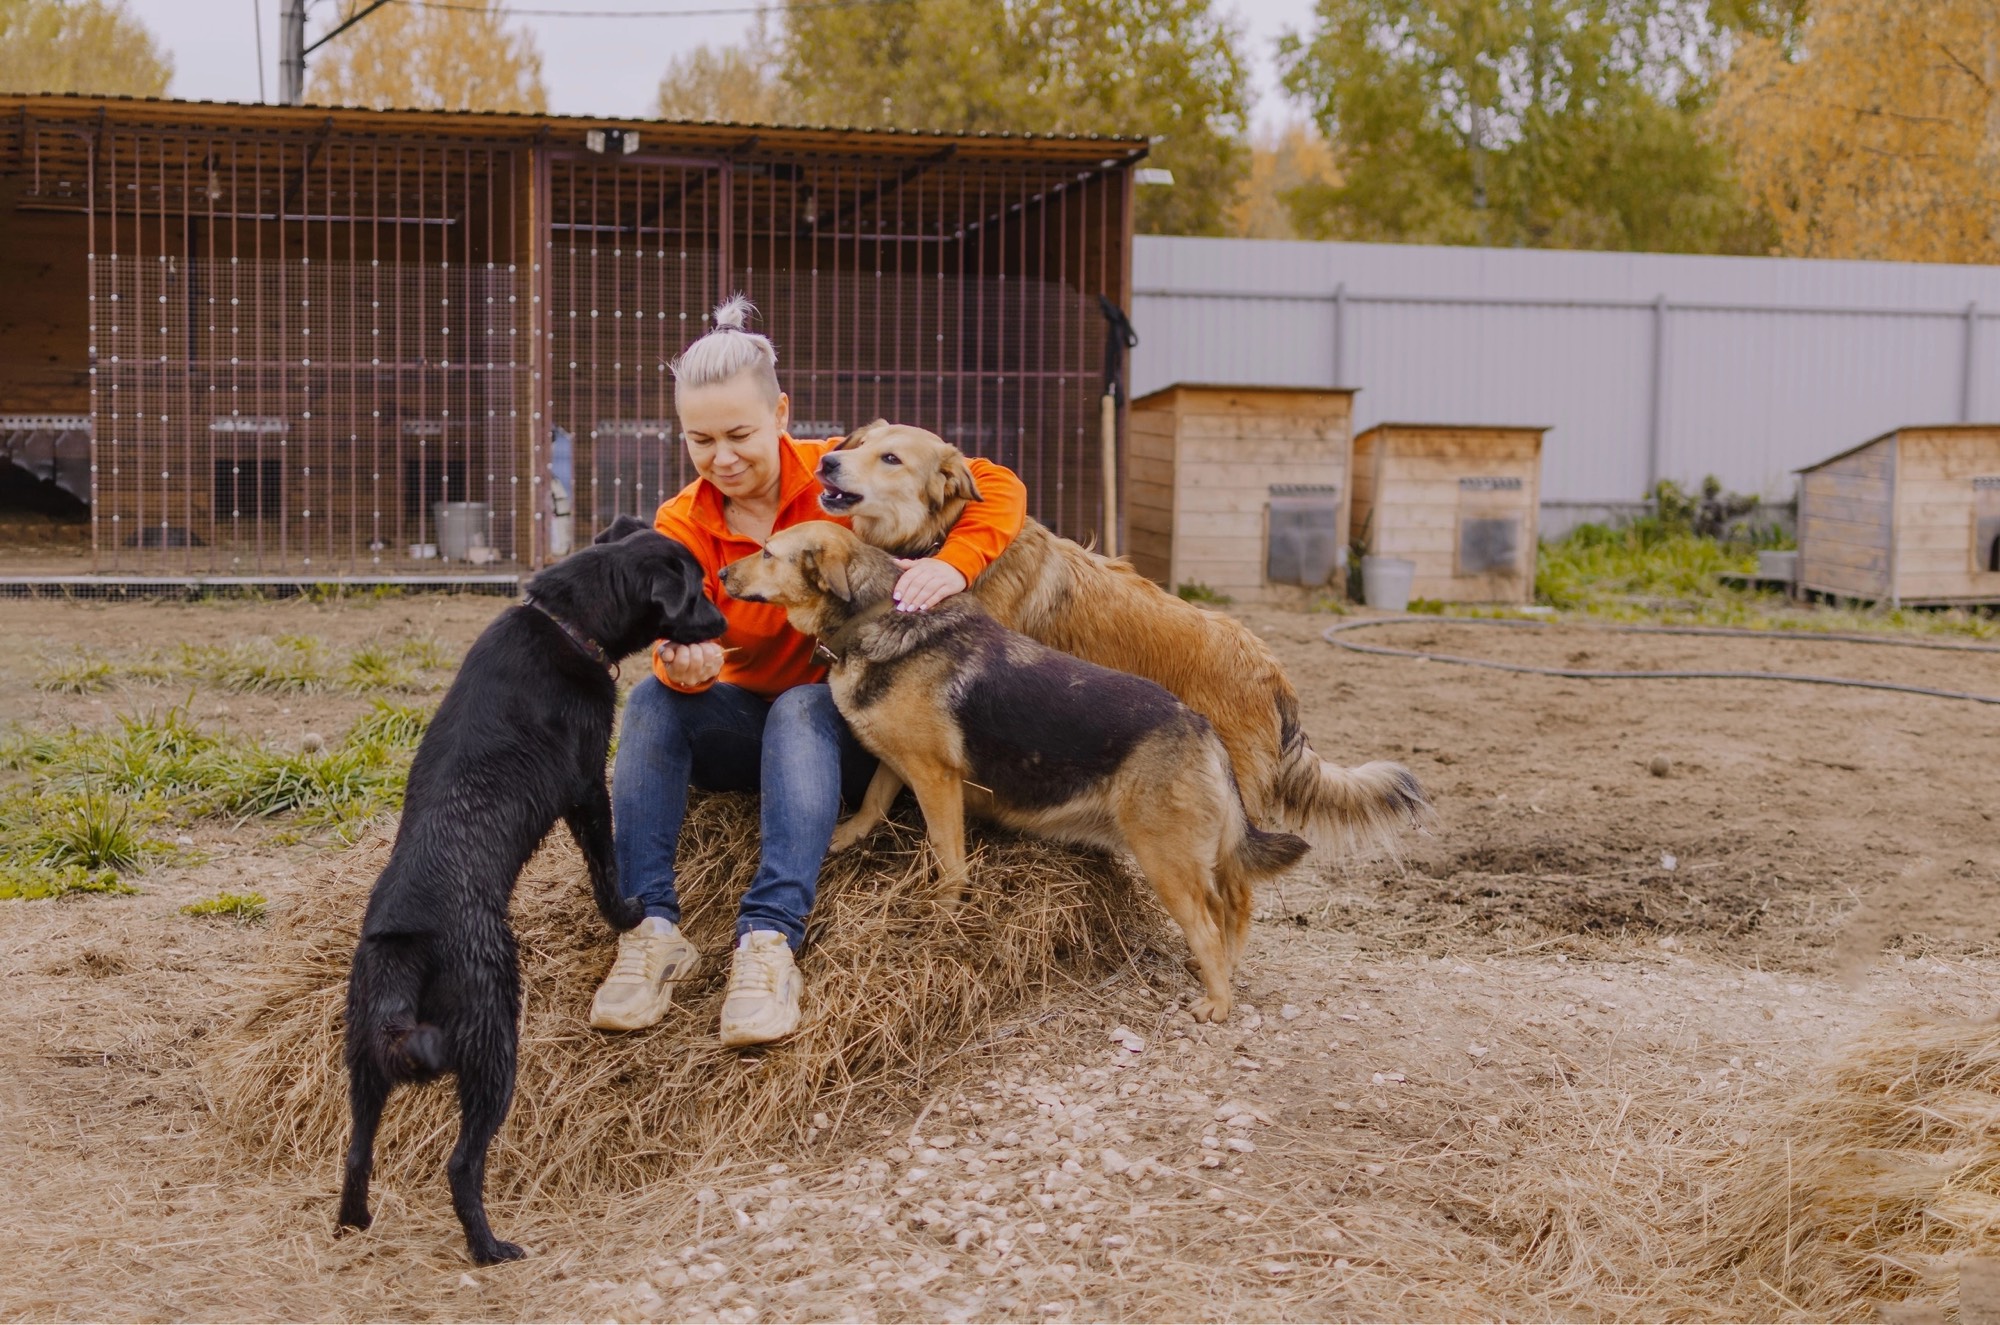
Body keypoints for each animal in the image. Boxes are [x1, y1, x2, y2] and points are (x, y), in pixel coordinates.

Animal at [338, 520, 728, 1264]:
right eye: (696, 589)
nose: (724, 621)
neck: (565, 621)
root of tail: (406, 941)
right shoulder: (585, 783)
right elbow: (606, 862)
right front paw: (627, 912)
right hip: (494, 1039)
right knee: (462, 1163)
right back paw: (491, 1247)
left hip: (364, 1063)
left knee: (356, 1149)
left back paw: (353, 1224)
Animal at [720, 524, 1312, 1020]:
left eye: (768, 553)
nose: (721, 576)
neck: (871, 615)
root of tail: (1201, 727)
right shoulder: (904, 761)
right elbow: (874, 798)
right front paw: (847, 835)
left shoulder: (936, 779)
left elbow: (948, 859)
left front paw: (943, 914)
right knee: (1230, 907)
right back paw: (1224, 976)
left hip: (1166, 861)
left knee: (1209, 924)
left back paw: (1217, 1002)